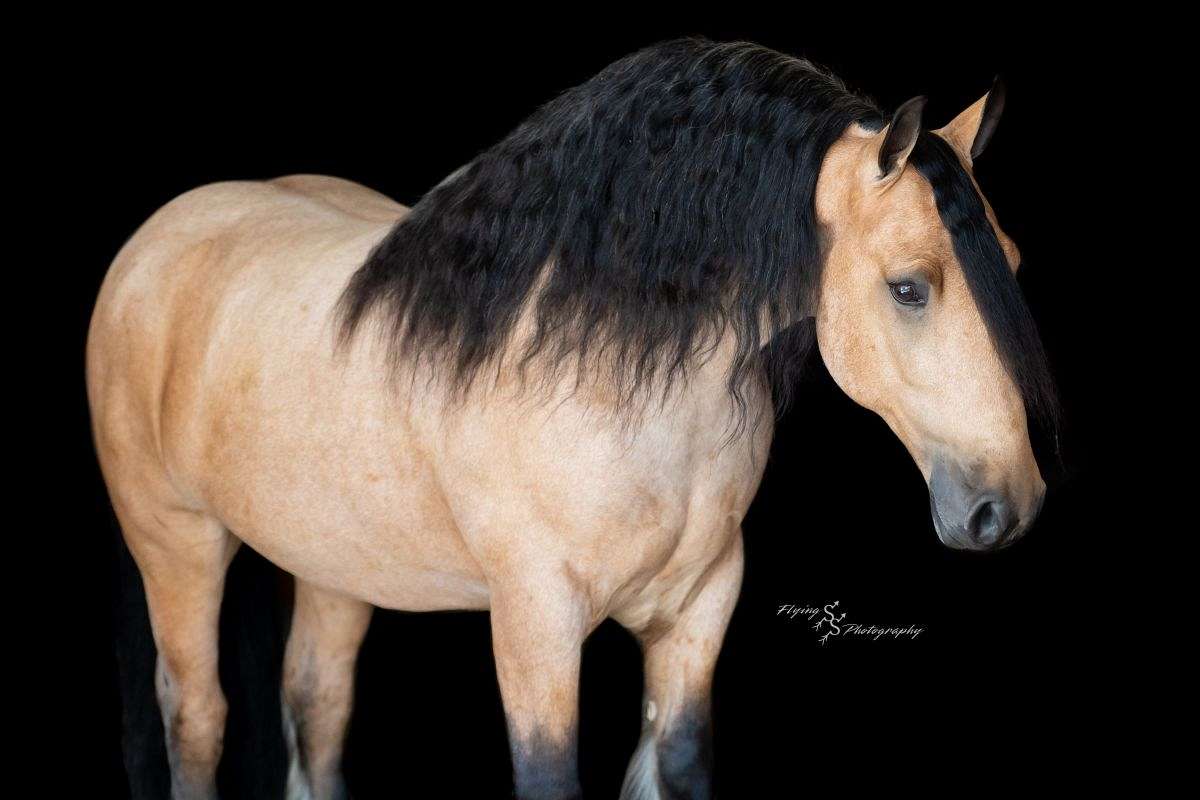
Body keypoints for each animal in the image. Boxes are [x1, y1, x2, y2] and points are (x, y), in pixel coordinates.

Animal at [87, 38, 1057, 800]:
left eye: (1010, 262)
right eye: (909, 287)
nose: (1004, 506)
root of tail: (156, 242)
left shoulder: (700, 611)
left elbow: (678, 762)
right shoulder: (536, 628)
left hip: (335, 568)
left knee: (317, 710)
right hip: (176, 544)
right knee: (198, 717)